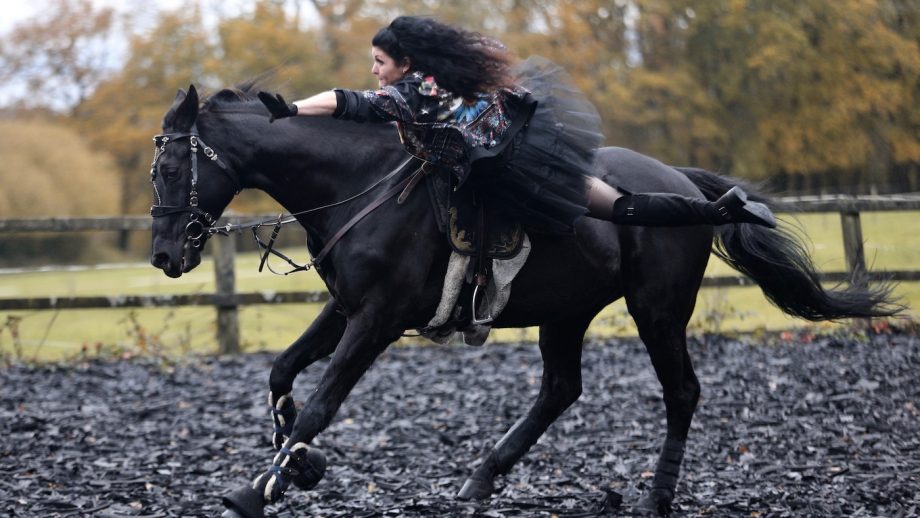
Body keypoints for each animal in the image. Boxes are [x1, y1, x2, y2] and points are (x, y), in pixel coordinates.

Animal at [149, 83, 899, 517]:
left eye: (172, 165)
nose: (163, 256)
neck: (358, 182)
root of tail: (682, 181)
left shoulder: (378, 319)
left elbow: (323, 401)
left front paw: (258, 489)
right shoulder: (346, 308)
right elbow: (282, 373)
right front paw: (294, 464)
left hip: (657, 310)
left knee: (681, 391)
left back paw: (657, 495)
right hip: (566, 314)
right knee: (561, 389)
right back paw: (482, 477)